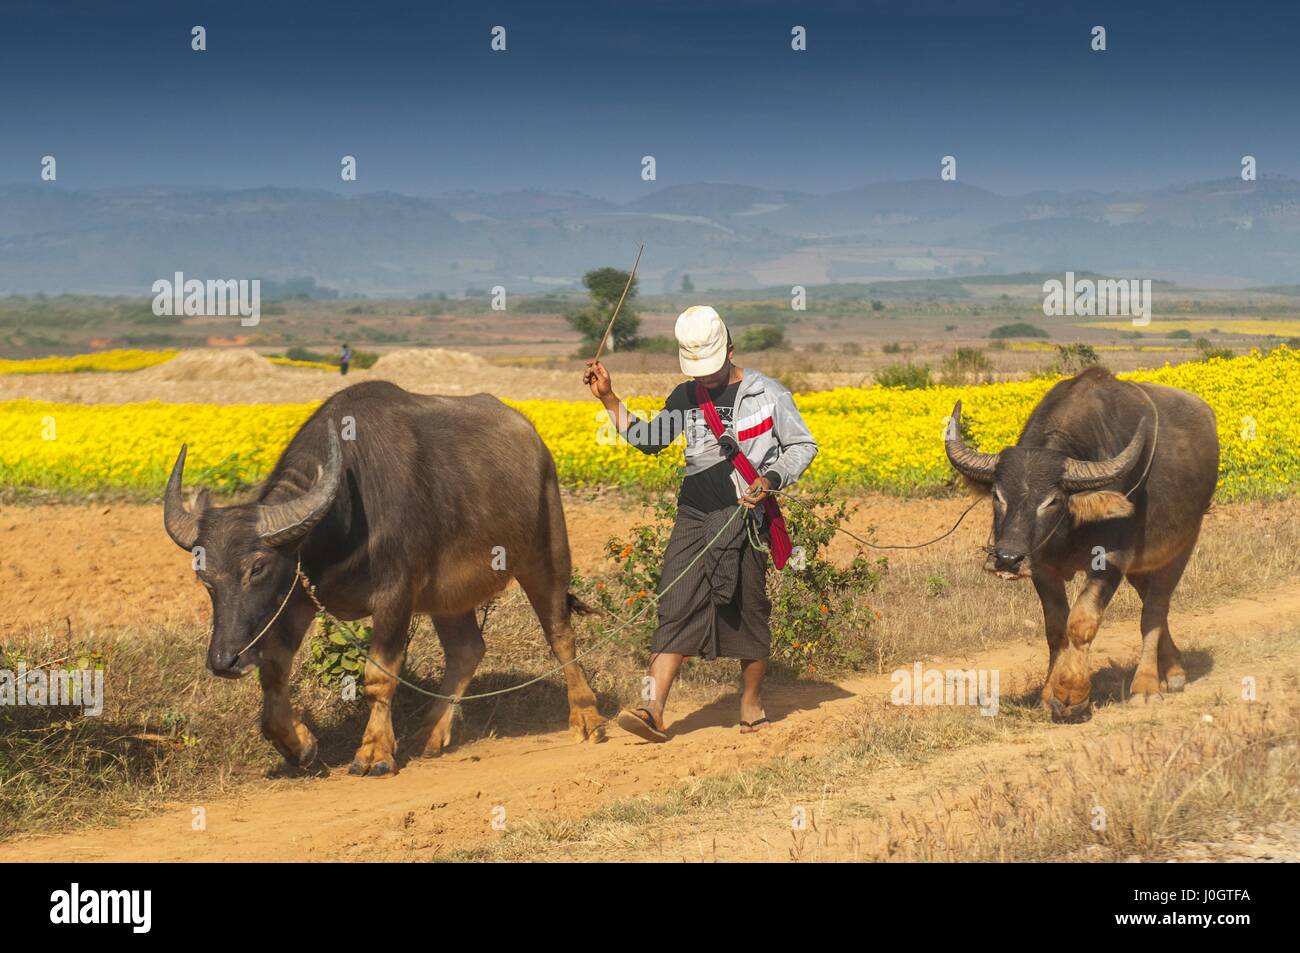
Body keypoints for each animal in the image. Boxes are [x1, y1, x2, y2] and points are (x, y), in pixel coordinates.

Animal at [164, 380, 605, 775]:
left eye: (257, 567)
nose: (224, 661)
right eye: (205, 577)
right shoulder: (297, 599)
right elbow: (273, 670)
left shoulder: (395, 596)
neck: (343, 522)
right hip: (449, 598)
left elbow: (378, 675)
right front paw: (299, 746)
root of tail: (536, 443)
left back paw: (586, 718)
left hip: (546, 555)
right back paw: (430, 734)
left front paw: (374, 753)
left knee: (560, 634)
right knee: (467, 650)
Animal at [944, 366, 1218, 722]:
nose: (1007, 559)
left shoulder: (1111, 559)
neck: (1070, 527)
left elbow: (1081, 621)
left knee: (1155, 609)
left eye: (1053, 500)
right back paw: (1173, 670)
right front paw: (1049, 694)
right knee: (1150, 601)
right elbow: (1056, 628)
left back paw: (1146, 686)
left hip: (1181, 545)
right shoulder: (1043, 568)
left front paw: (1072, 694)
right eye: (997, 495)